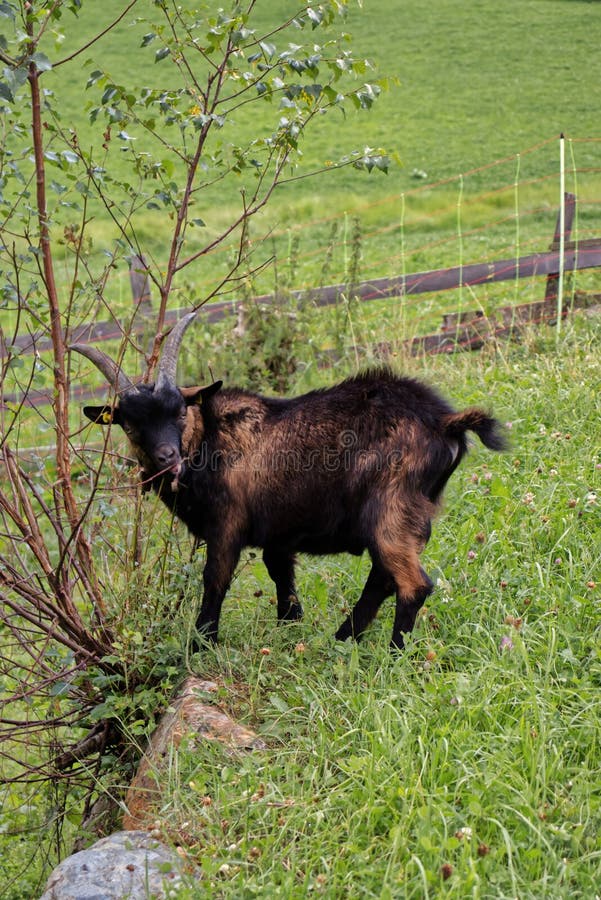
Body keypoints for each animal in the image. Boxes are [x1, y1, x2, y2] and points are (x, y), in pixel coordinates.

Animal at [73, 312, 506, 650]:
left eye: (180, 411)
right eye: (130, 424)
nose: (167, 459)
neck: (208, 439)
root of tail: (444, 422)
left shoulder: (227, 523)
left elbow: (215, 580)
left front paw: (200, 645)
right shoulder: (278, 533)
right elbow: (281, 577)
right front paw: (289, 629)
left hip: (390, 507)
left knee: (412, 583)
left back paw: (394, 653)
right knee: (384, 577)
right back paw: (343, 639)